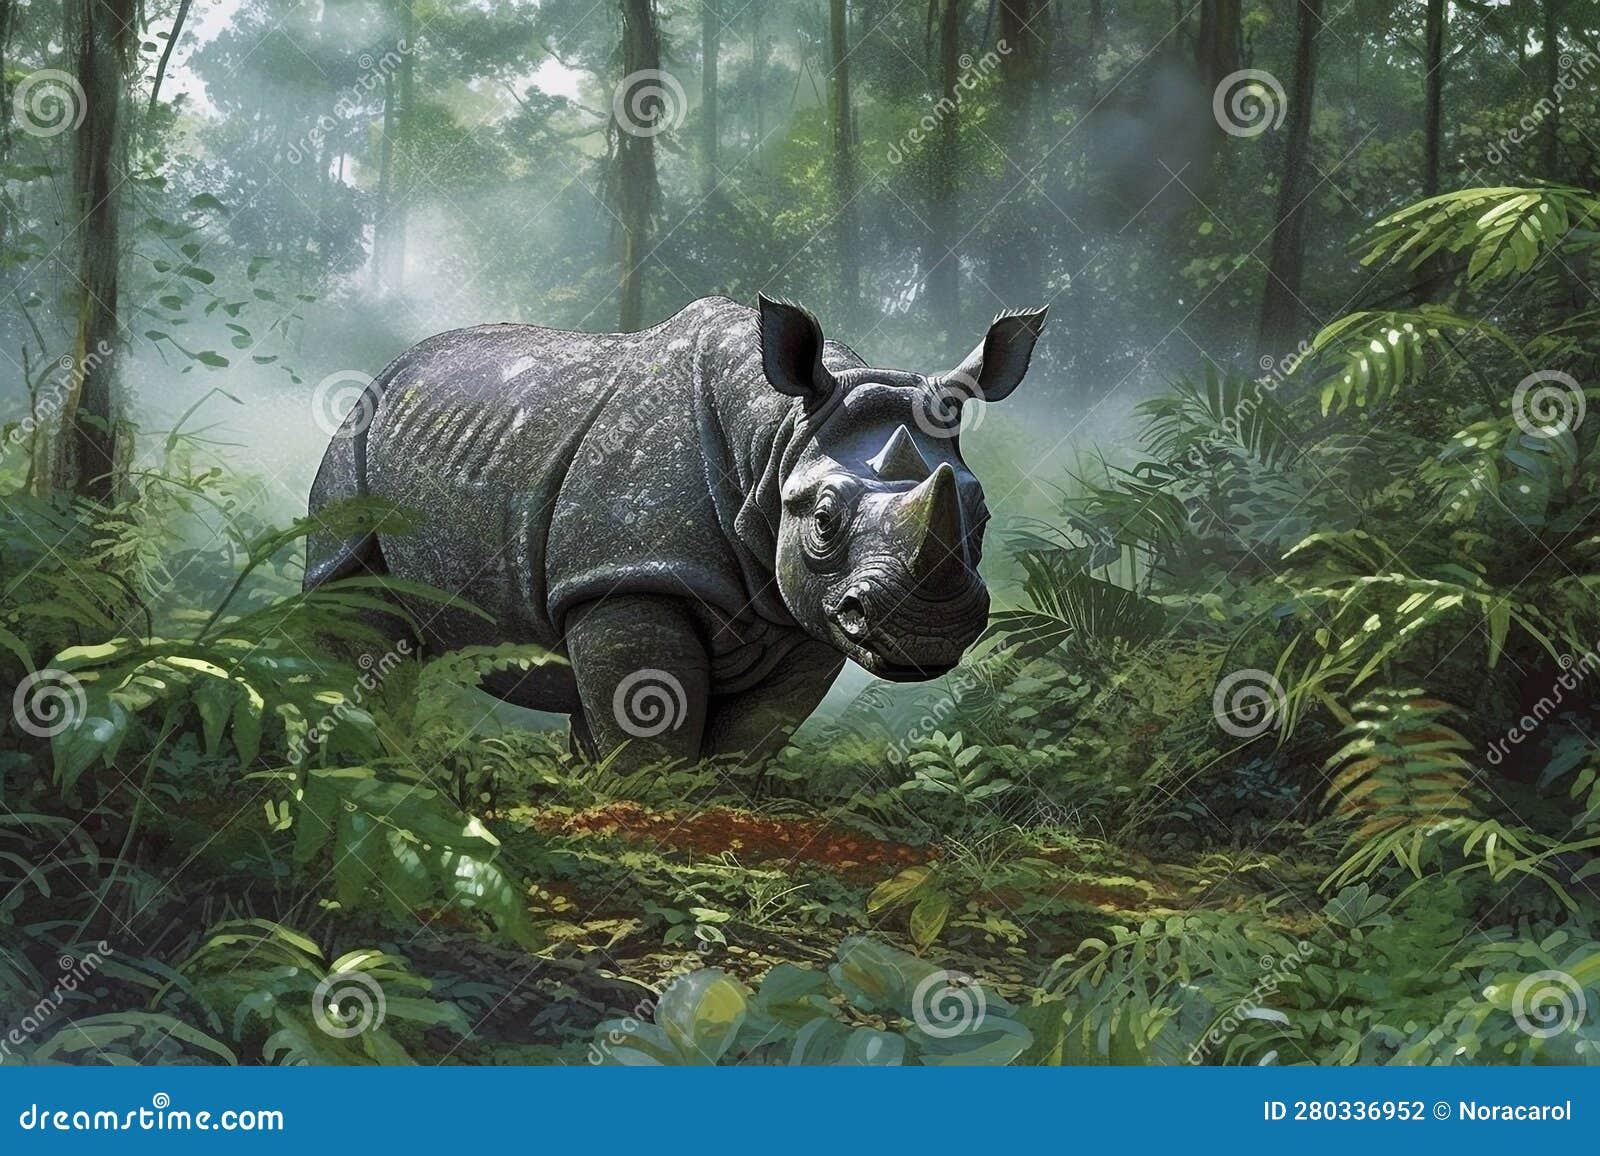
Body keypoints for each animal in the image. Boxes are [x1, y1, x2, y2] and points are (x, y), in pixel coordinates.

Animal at [305, 295, 1046, 765]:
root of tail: (394, 366)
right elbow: (650, 714)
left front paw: (714, 809)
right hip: (351, 451)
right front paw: (651, 810)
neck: (775, 439)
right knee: (353, 600)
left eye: (981, 519)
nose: (927, 632)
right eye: (824, 521)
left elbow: (752, 733)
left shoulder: (802, 614)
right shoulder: (625, 571)